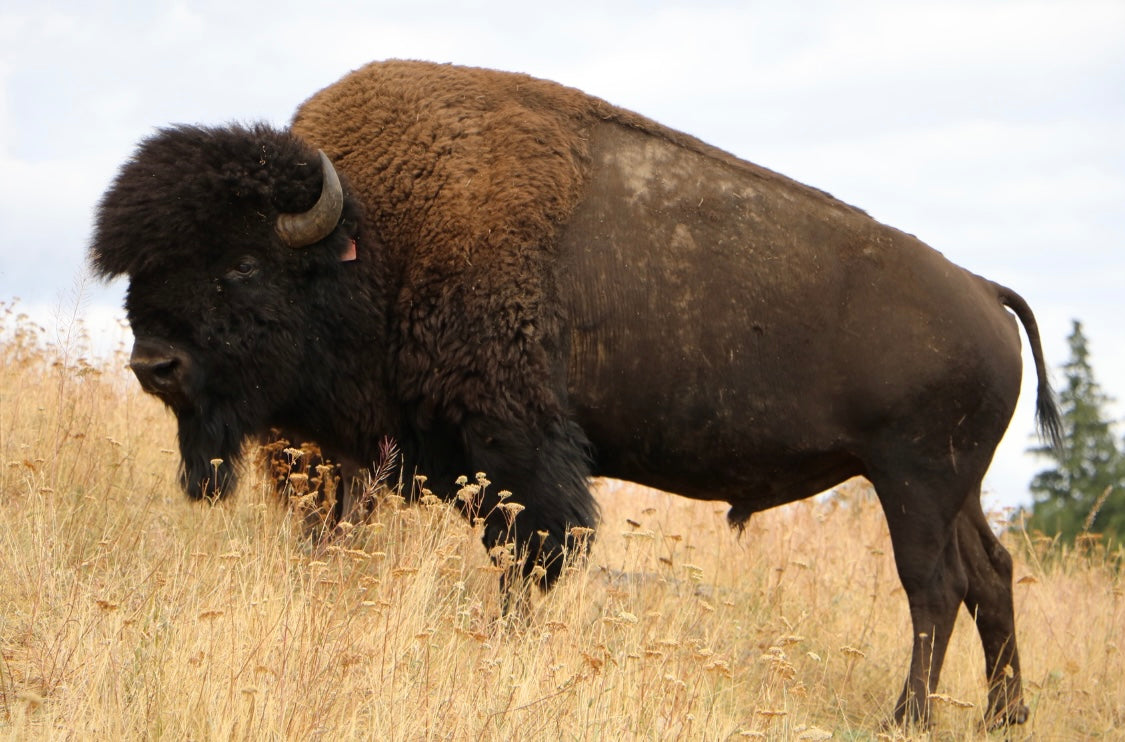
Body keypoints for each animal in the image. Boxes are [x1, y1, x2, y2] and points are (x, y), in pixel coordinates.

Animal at [91, 60, 1061, 728]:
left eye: (241, 265)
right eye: (139, 270)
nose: (154, 364)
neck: (376, 235)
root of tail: (983, 291)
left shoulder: (517, 451)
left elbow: (534, 554)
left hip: (911, 479)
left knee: (932, 585)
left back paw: (906, 718)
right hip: (952, 485)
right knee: (990, 574)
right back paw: (1005, 715)